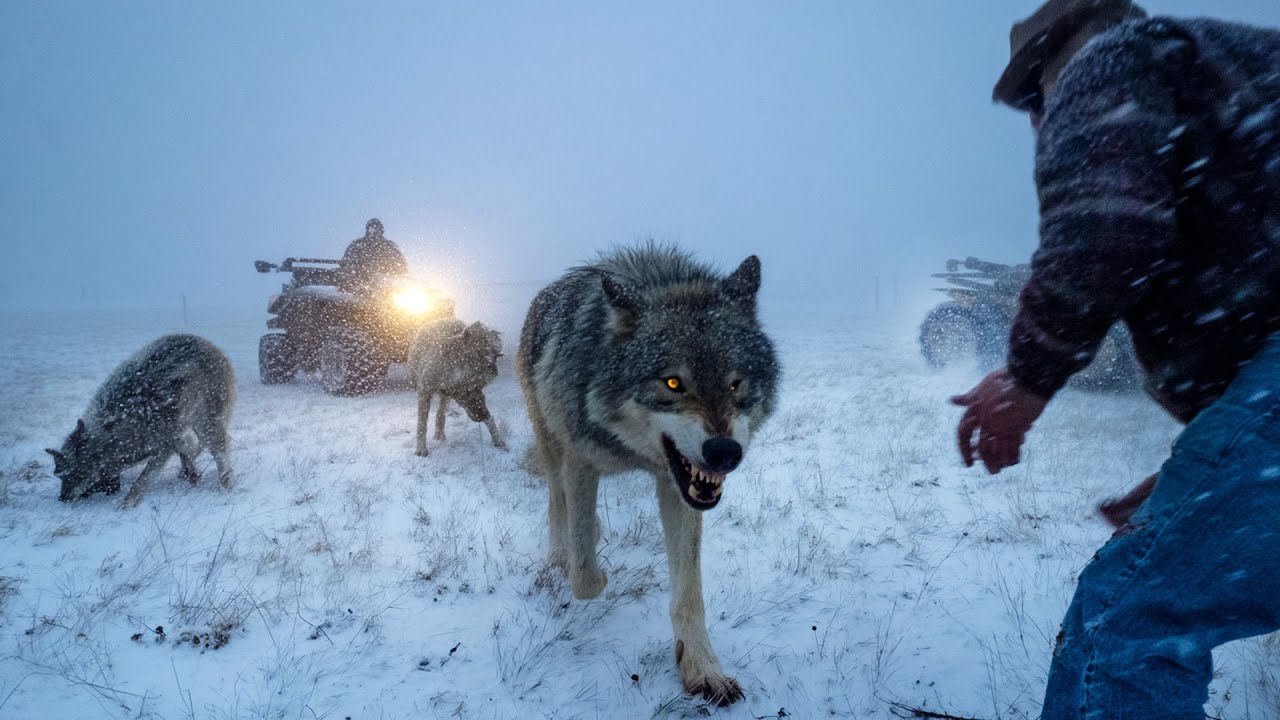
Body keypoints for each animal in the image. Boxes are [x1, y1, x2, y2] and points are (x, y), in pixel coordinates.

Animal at [46, 334, 235, 507]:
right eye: (59, 476)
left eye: (70, 474)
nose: (62, 499)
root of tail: (210, 345)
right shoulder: (174, 439)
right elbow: (185, 453)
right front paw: (191, 476)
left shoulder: (164, 446)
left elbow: (143, 479)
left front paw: (127, 503)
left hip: (207, 424)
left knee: (219, 452)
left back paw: (225, 485)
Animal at [408, 318, 506, 456]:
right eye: (467, 393)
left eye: (480, 388)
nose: (483, 415)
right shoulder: (425, 389)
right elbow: (422, 423)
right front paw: (421, 449)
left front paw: (497, 438)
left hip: (445, 395)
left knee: (441, 409)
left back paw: (439, 432)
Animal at [516, 244, 778, 704]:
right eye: (672, 383)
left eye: (736, 383)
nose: (725, 453)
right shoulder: (580, 462)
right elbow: (585, 577)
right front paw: (588, 562)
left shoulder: (680, 487)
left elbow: (689, 594)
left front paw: (701, 668)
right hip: (550, 443)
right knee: (556, 500)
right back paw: (560, 553)